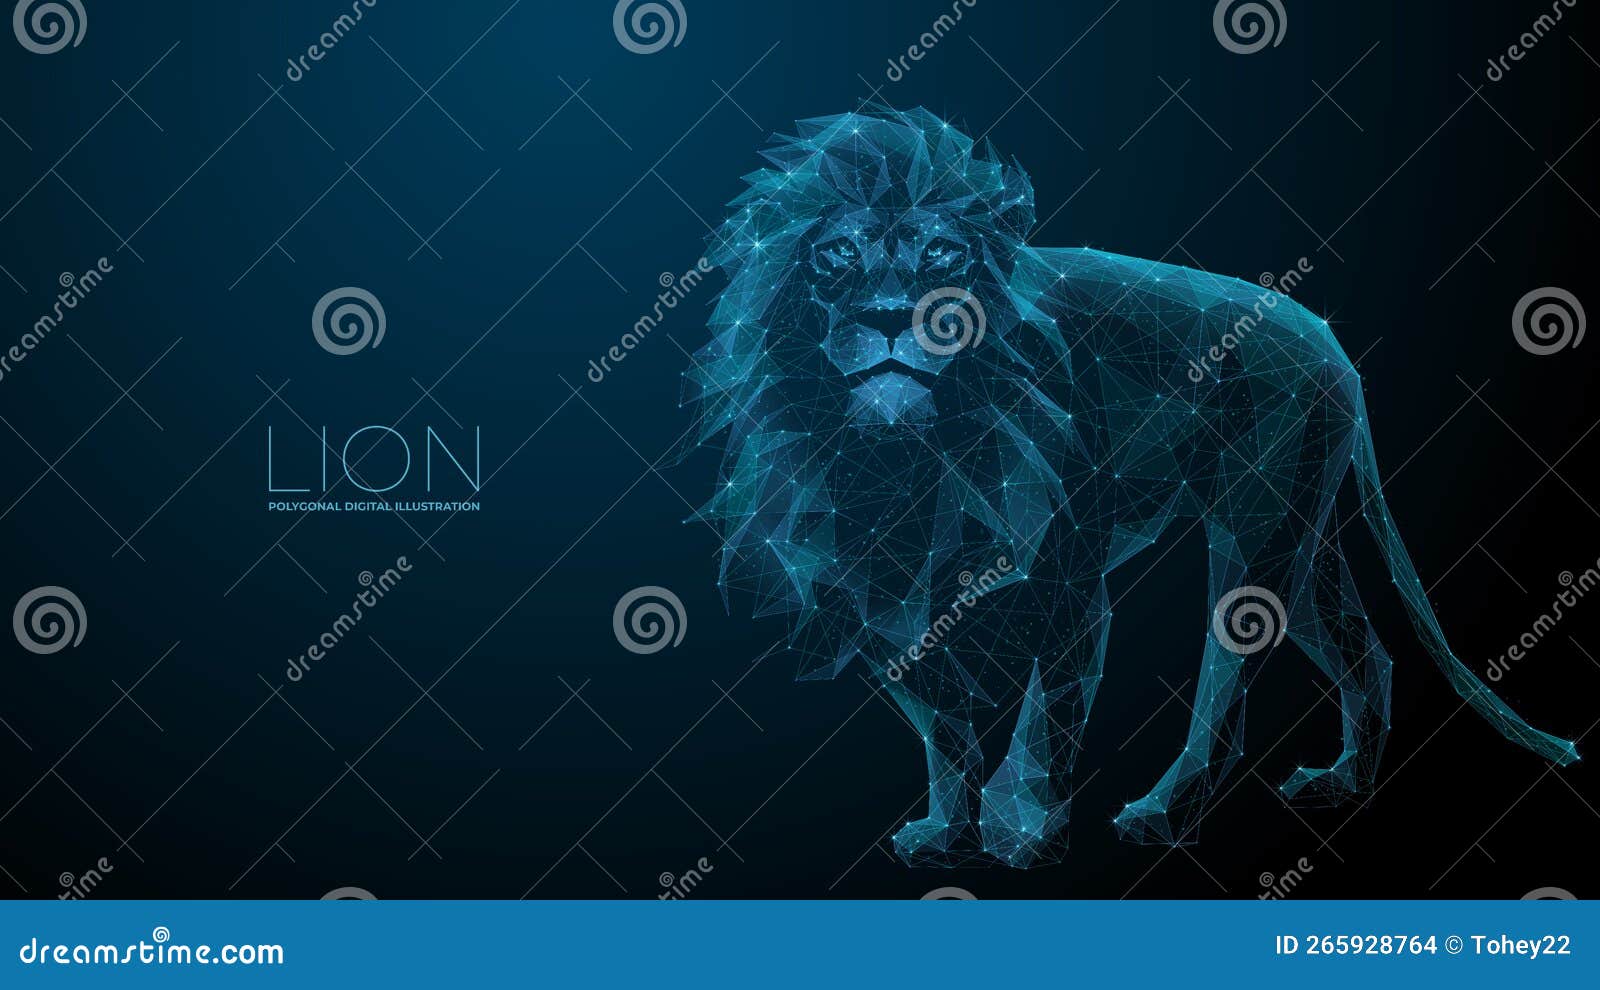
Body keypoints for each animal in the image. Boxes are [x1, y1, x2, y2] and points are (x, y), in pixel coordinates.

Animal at [678, 107, 1577, 868]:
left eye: (943, 255)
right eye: (835, 255)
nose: (896, 316)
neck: (904, 450)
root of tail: (1329, 343)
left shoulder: (1069, 588)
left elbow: (1043, 724)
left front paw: (1025, 835)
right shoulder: (873, 591)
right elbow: (945, 725)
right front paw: (946, 835)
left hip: (1254, 528)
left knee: (1226, 687)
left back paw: (1165, 815)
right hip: (1304, 539)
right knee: (1366, 650)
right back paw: (1343, 786)